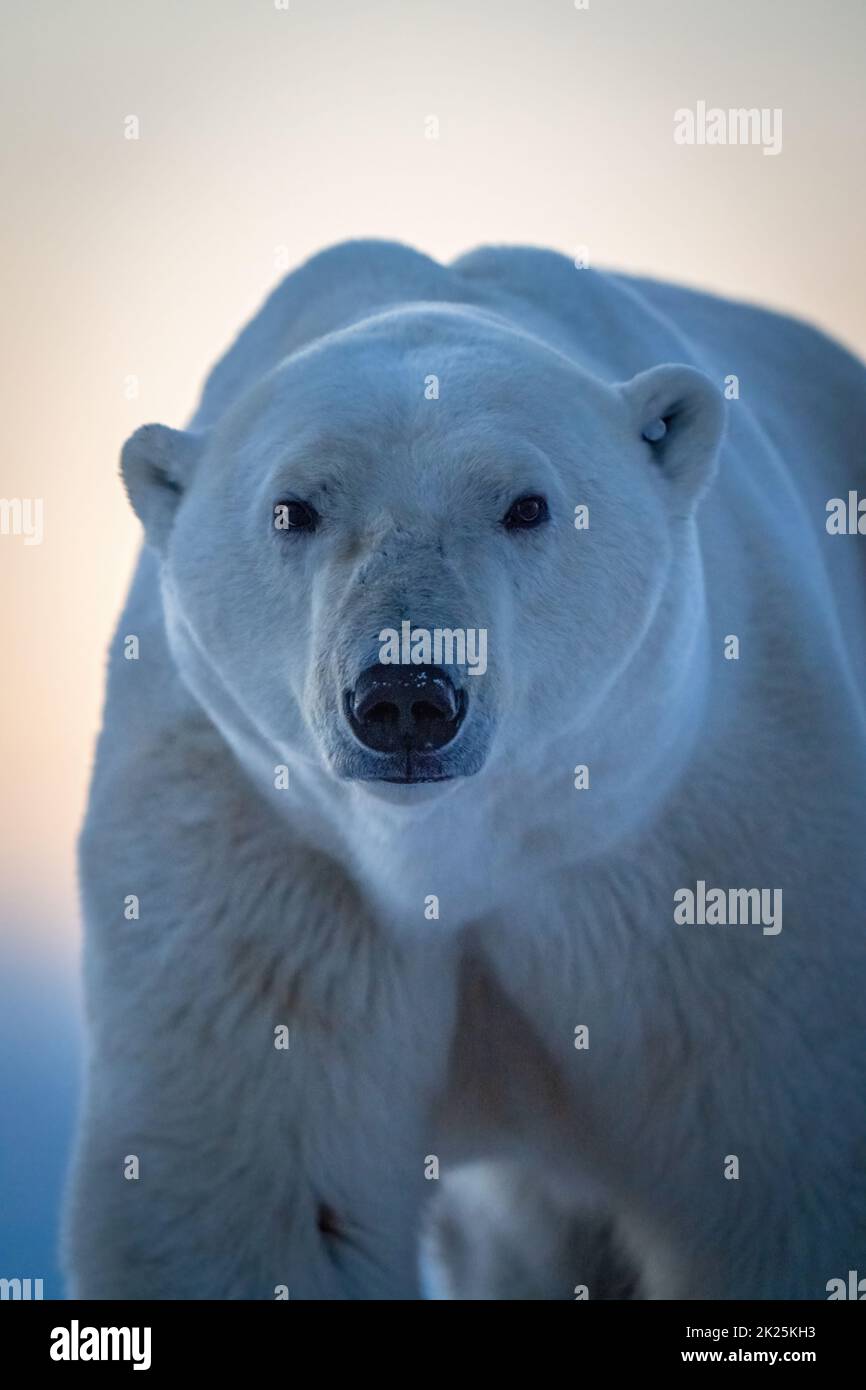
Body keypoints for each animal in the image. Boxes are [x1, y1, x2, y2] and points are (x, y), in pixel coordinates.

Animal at [64, 239, 866, 1299]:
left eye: (527, 505)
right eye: (293, 507)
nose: (406, 694)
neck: (461, 852)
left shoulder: (711, 864)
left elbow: (776, 1174)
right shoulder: (258, 867)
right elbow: (274, 1200)